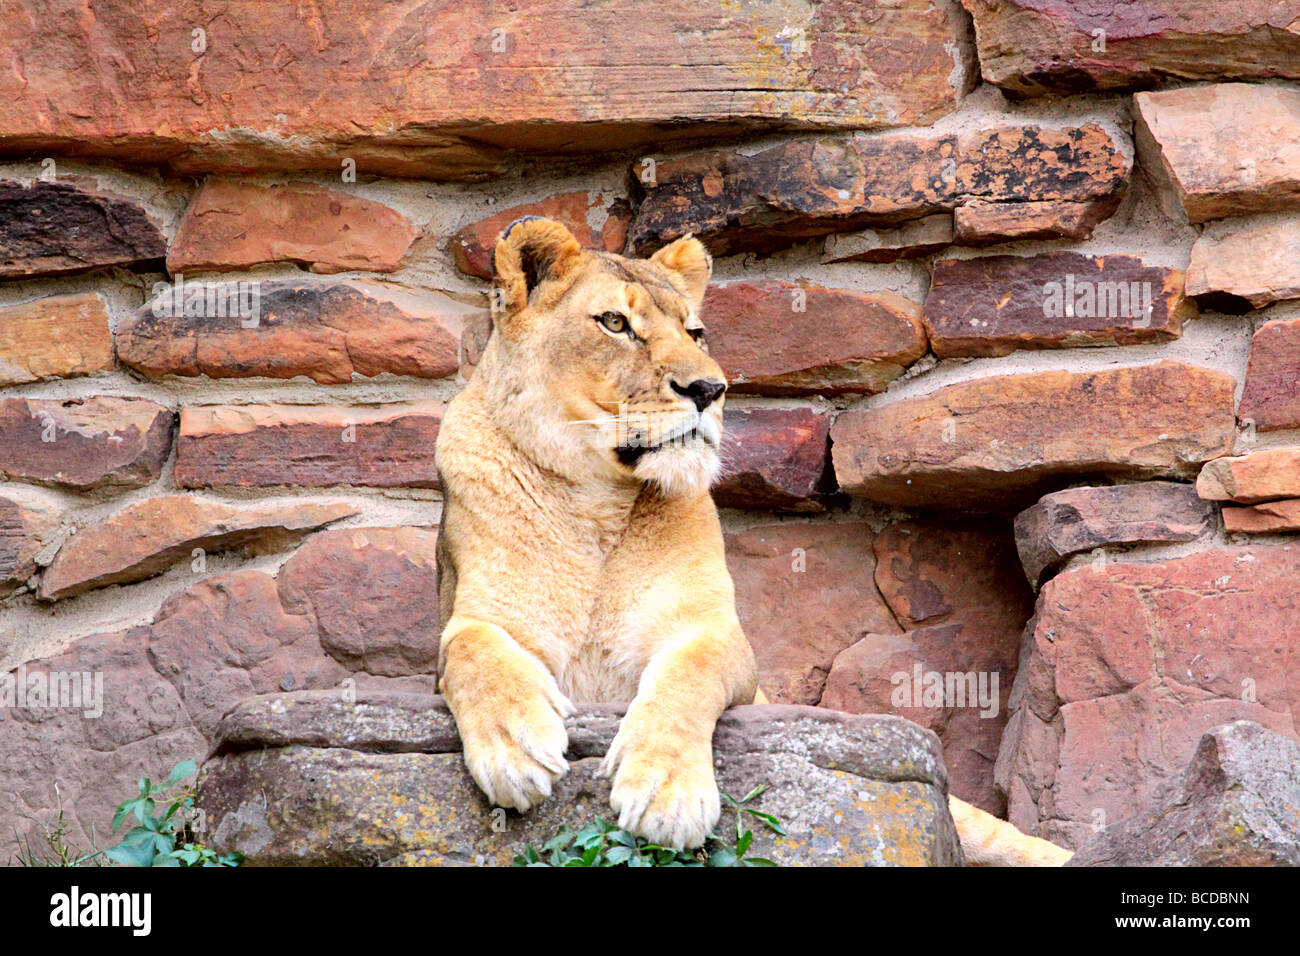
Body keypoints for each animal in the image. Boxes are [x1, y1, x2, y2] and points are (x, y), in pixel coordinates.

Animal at [434, 216, 1071, 865]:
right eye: (615, 323)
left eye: (695, 331)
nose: (708, 388)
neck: (598, 504)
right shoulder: (480, 615)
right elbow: (470, 652)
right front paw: (515, 750)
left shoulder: (714, 631)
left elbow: (686, 675)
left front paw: (666, 791)